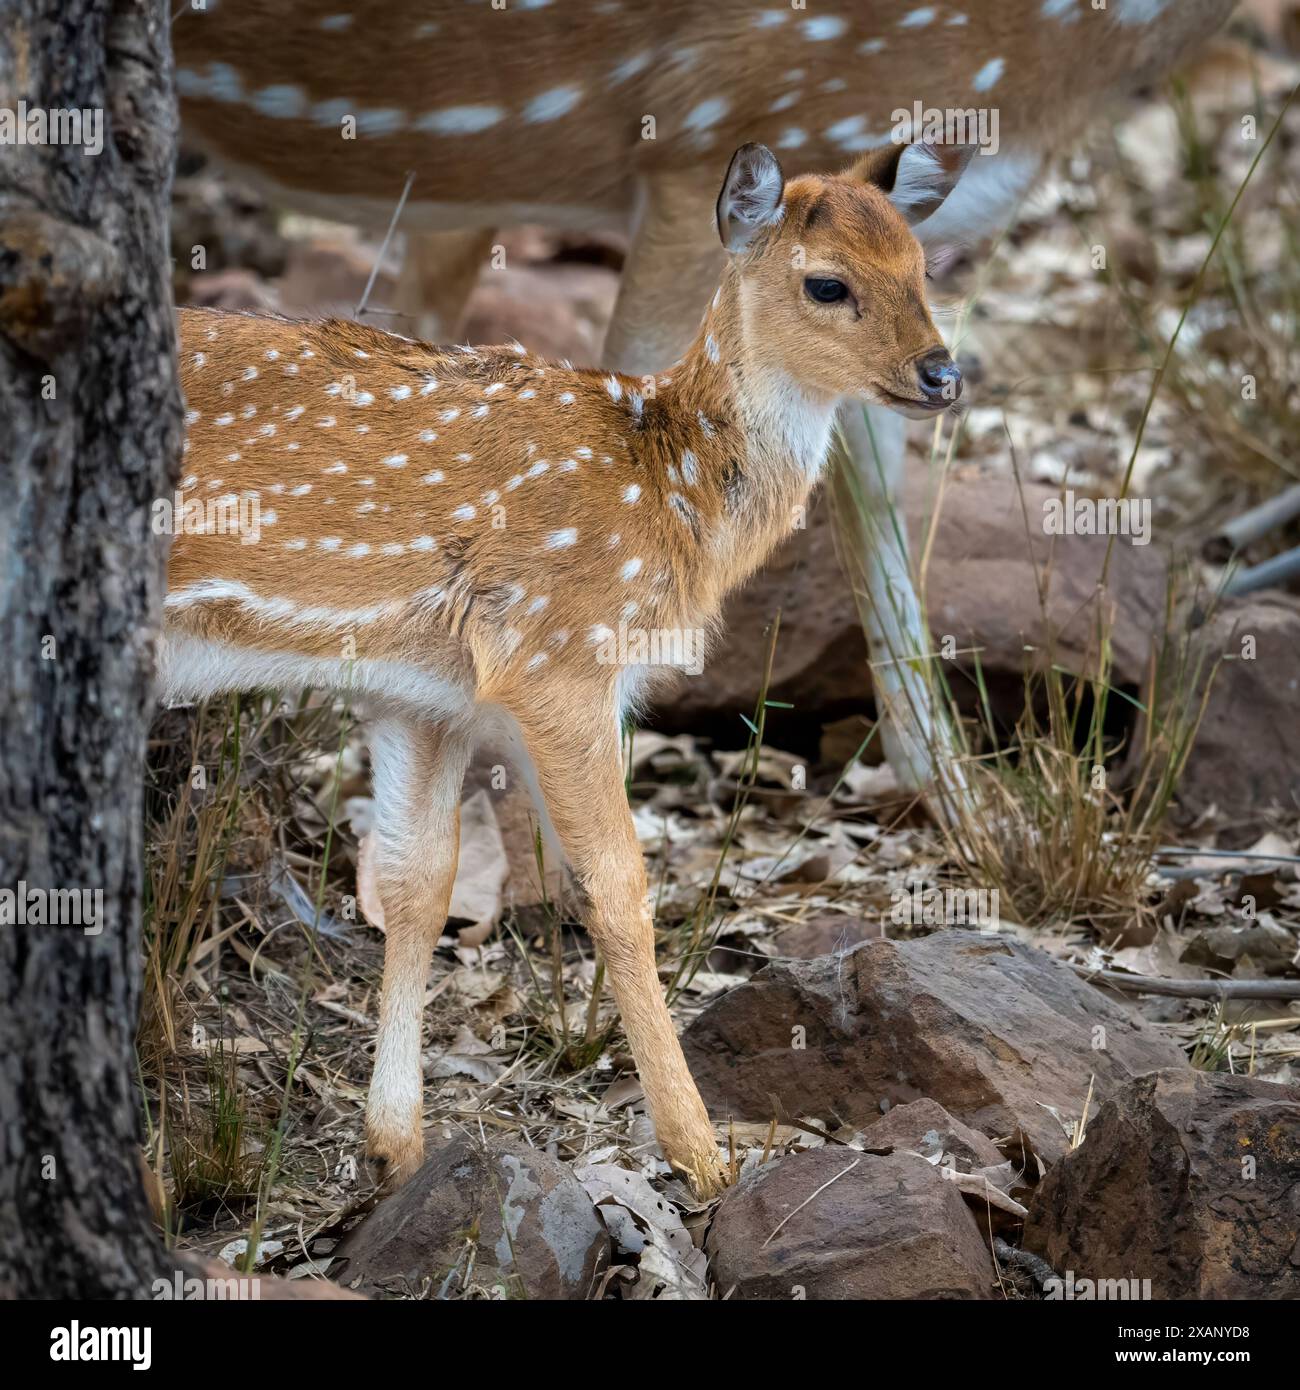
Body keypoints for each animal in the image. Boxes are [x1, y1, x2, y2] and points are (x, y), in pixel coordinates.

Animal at [160, 139, 970, 1196]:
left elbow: (415, 882)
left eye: (924, 267)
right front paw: (702, 1157)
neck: (667, 491)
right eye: (827, 283)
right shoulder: (560, 654)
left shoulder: (424, 696)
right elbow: (618, 890)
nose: (943, 373)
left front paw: (396, 1149)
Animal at [172, 0, 1237, 808]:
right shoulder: (710, 130)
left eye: (923, 273)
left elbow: (879, 508)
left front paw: (969, 811)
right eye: (824, 282)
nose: (948, 376)